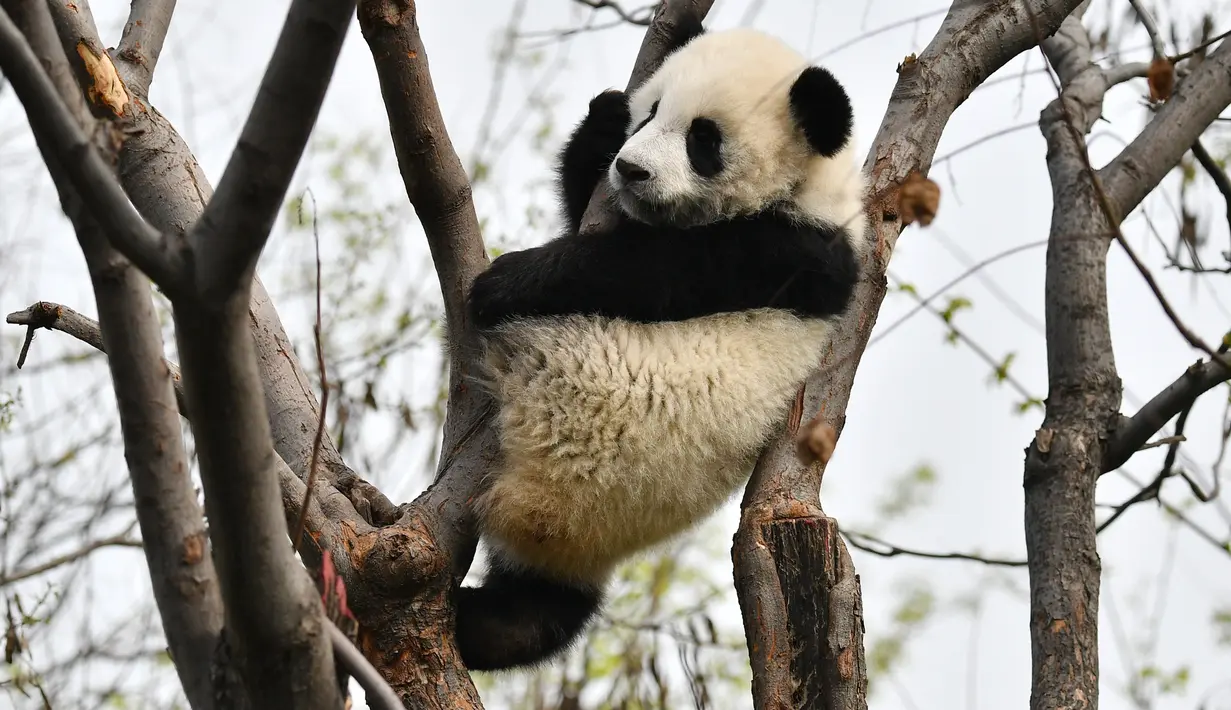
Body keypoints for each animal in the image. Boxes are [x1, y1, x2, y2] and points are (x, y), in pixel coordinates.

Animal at [455, 24, 868, 671]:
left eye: (704, 139)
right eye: (650, 112)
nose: (630, 169)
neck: (808, 188)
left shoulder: (793, 251)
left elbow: (652, 271)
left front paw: (505, 280)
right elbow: (587, 202)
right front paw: (602, 121)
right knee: (535, 616)